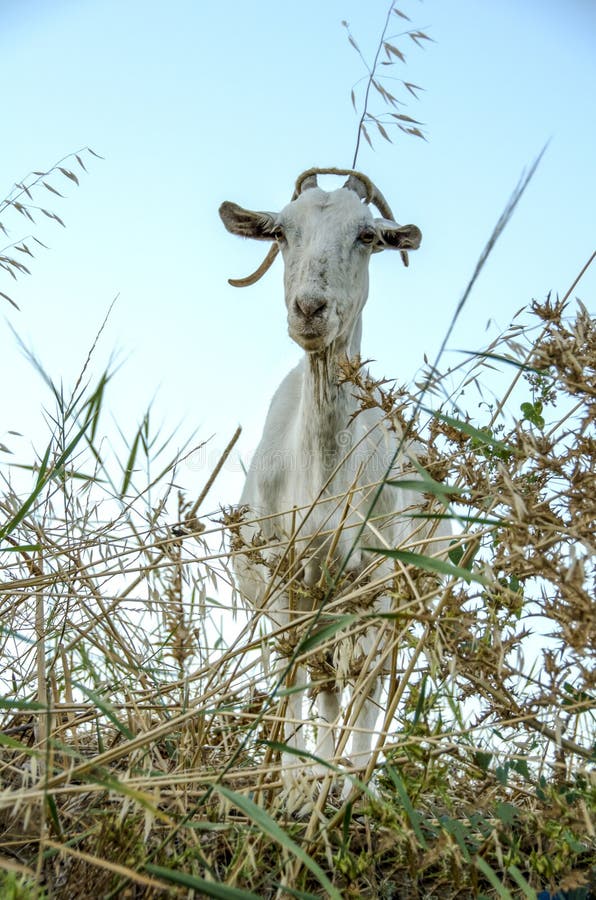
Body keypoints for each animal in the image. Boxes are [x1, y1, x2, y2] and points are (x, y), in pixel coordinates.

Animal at [220, 168, 446, 808]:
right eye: (281, 231)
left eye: (367, 235)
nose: (310, 309)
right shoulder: (283, 575)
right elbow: (298, 673)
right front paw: (294, 783)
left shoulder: (375, 580)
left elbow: (360, 683)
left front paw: (346, 784)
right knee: (327, 679)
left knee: (373, 675)